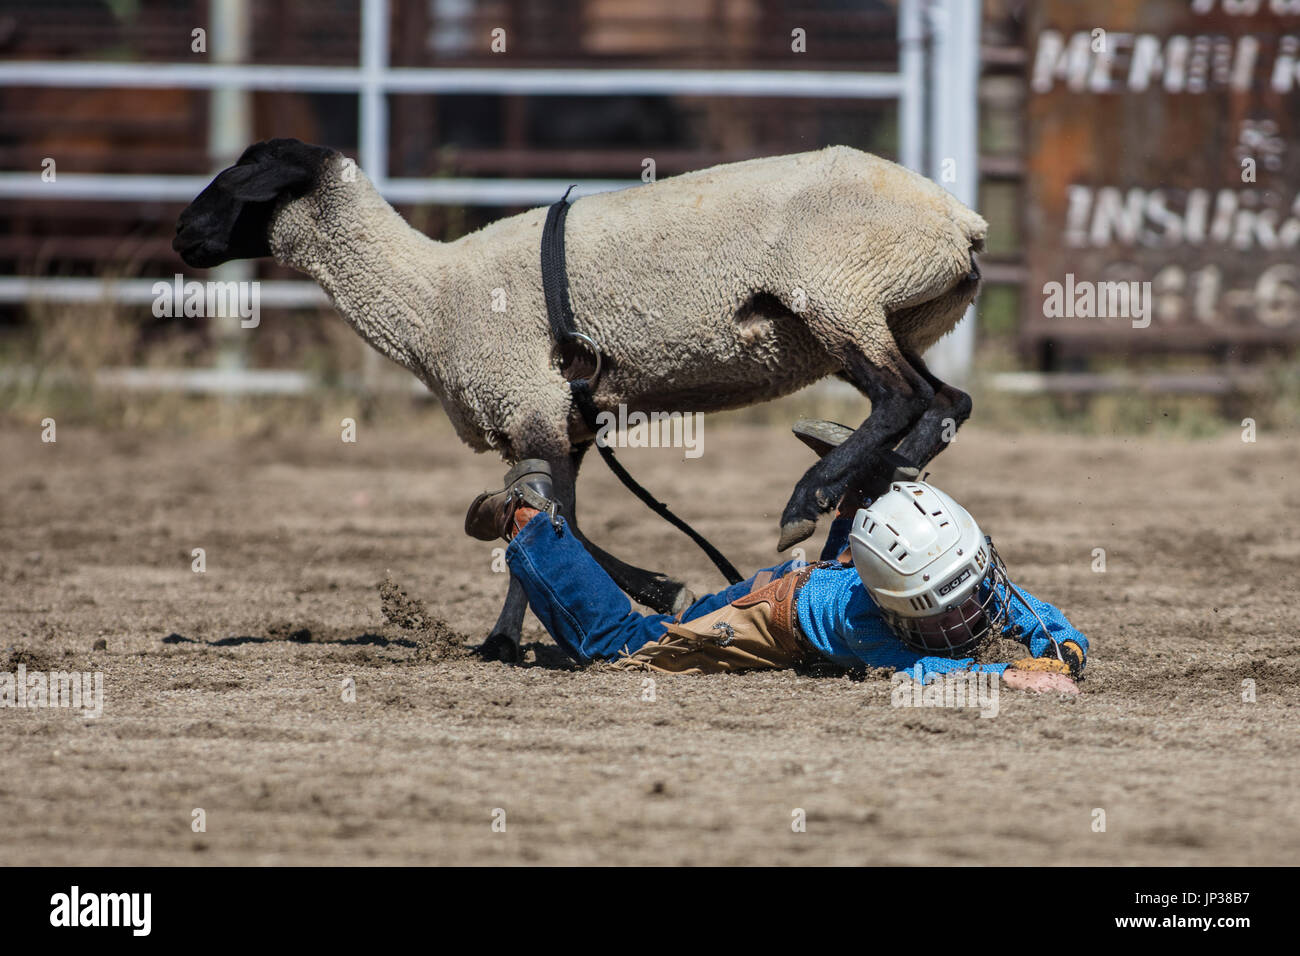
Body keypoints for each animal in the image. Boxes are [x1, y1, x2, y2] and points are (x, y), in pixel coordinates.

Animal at [173, 137, 987, 660]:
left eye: (243, 176)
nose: (181, 233)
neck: (431, 299)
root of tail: (961, 223)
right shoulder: (559, 421)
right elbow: (545, 511)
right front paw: (507, 638)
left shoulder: (529, 400)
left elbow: (542, 511)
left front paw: (657, 590)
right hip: (895, 314)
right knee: (946, 401)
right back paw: (884, 479)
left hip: (840, 295)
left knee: (899, 396)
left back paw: (809, 499)